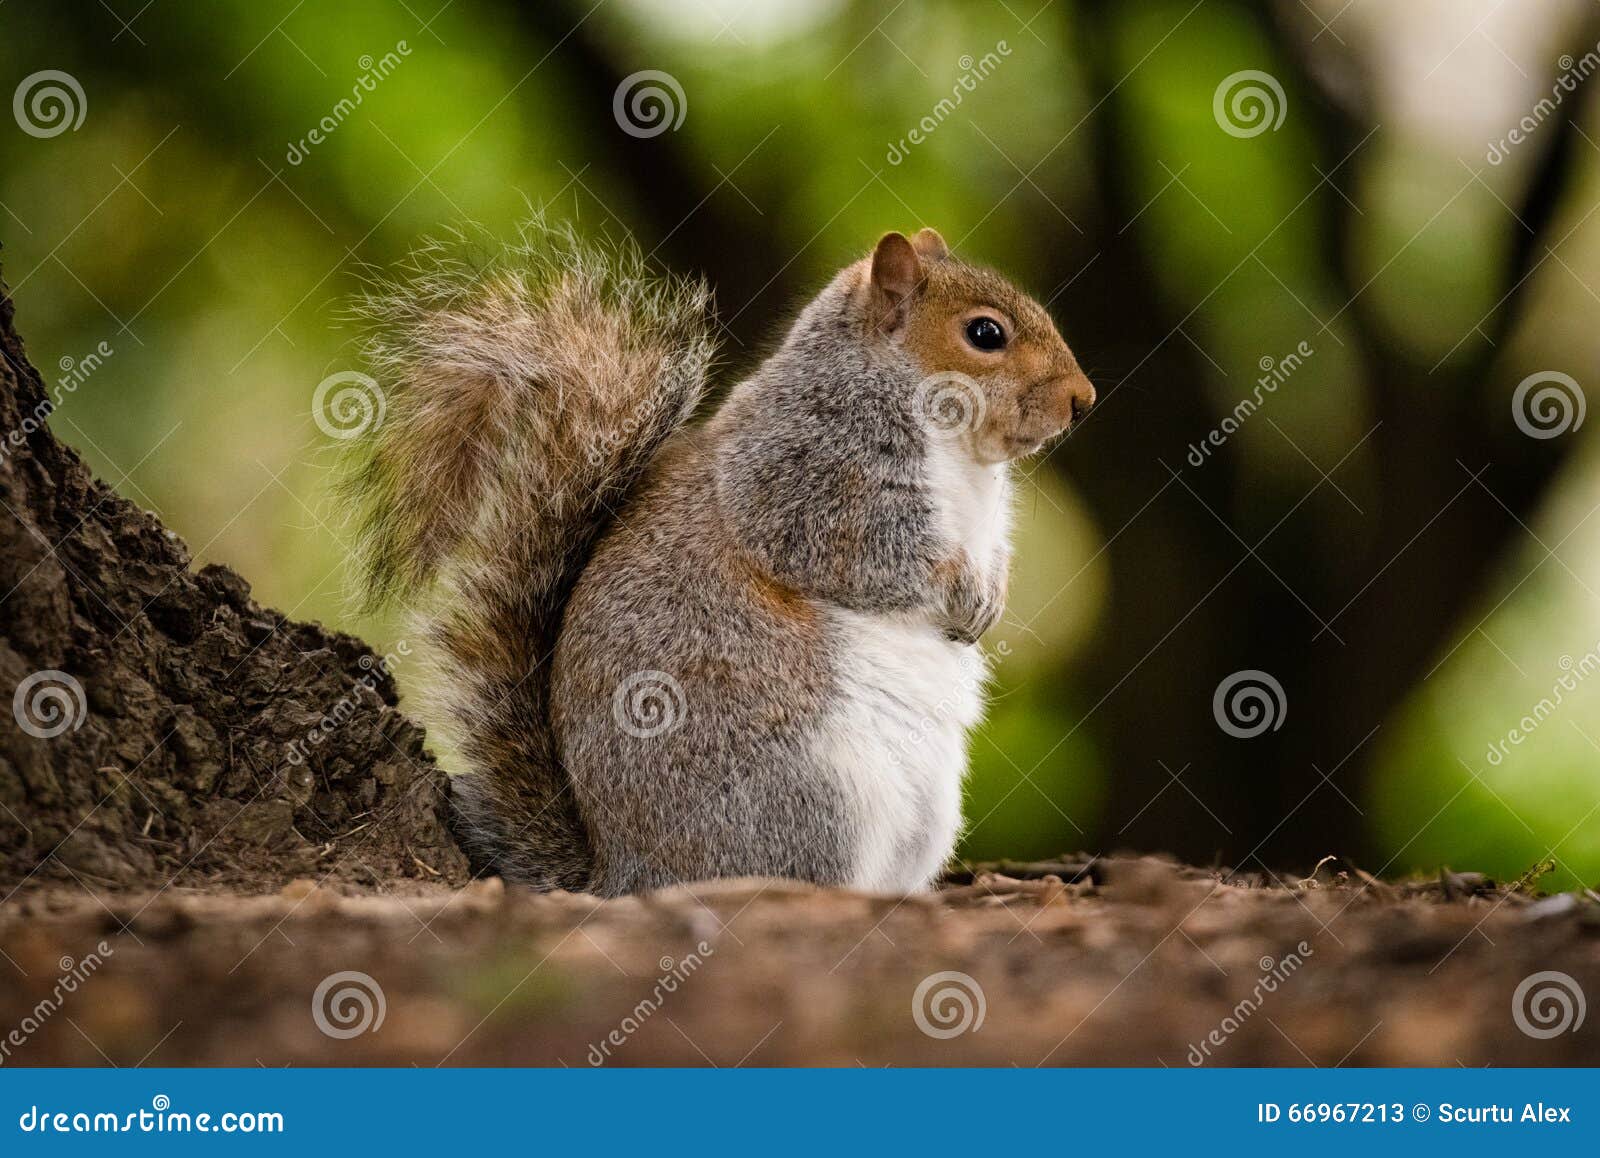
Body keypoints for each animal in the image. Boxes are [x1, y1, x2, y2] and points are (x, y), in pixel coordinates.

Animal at [345, 219, 1094, 895]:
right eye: (985, 334)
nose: (1082, 402)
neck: (963, 458)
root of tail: (622, 875)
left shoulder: (986, 524)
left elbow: (992, 556)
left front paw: (990, 601)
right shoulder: (806, 483)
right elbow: (876, 562)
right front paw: (960, 596)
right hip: (814, 796)